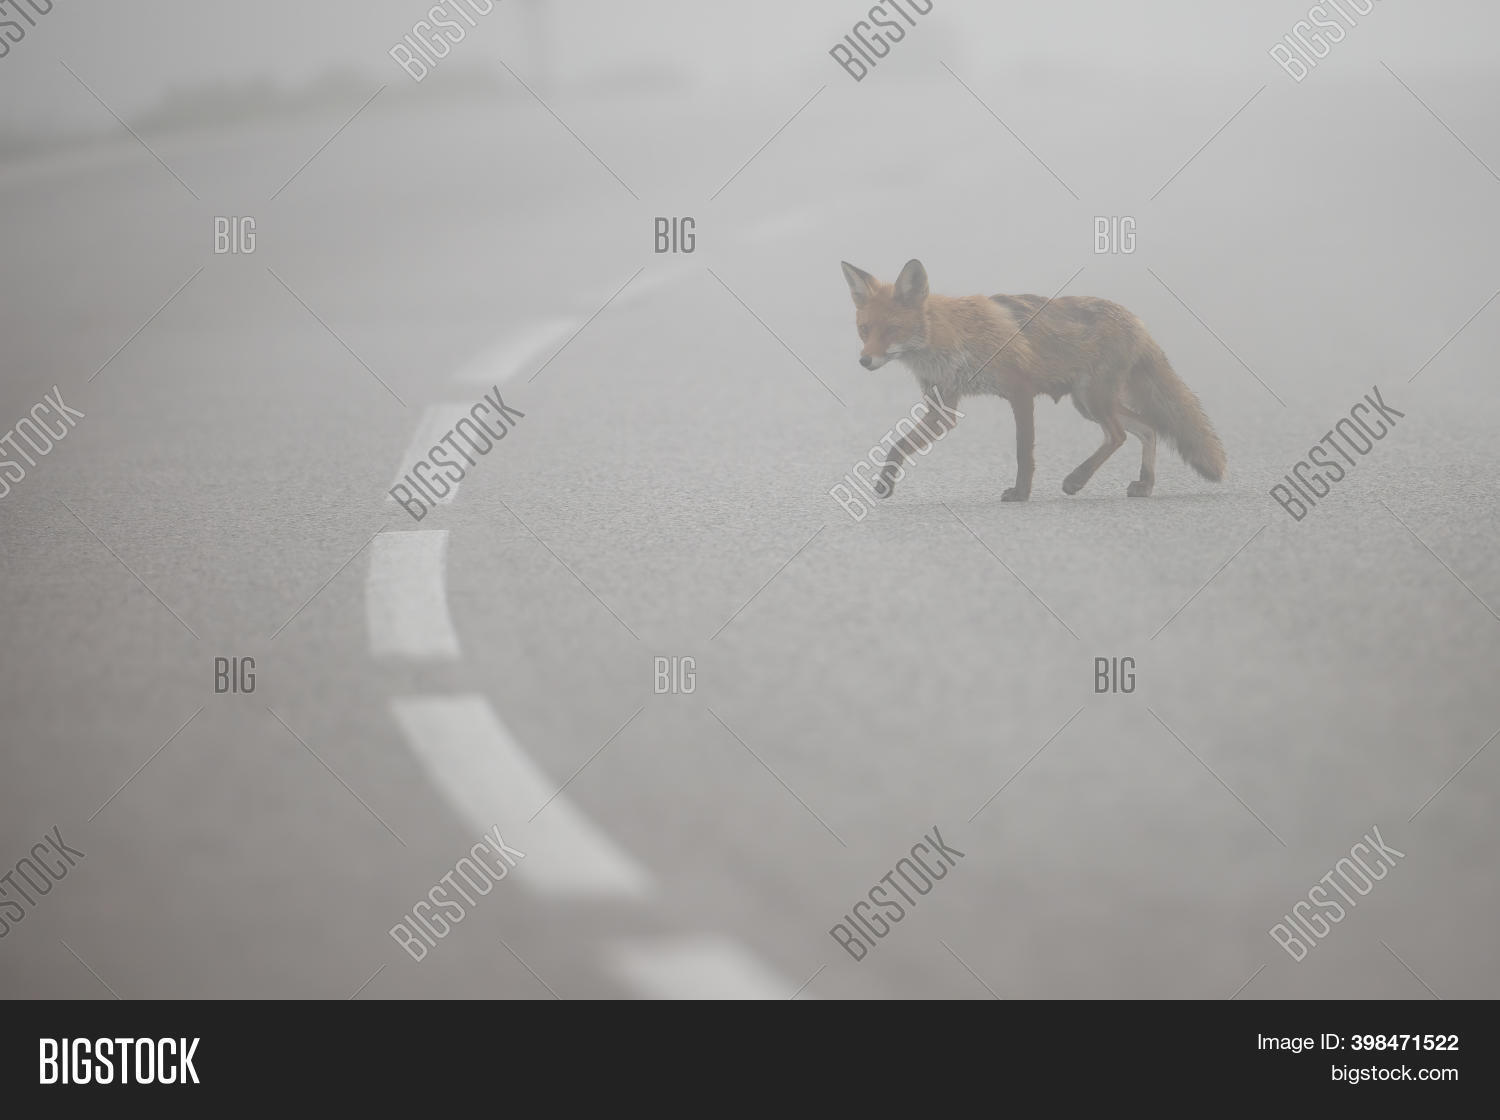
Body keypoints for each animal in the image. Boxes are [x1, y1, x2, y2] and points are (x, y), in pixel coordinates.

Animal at [840, 258, 1225, 500]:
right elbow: (898, 445)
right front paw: (884, 484)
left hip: (1092, 400)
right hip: (1089, 402)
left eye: (892, 330)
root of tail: (1136, 320)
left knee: (1118, 435)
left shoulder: (1020, 390)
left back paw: (1076, 480)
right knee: (1148, 428)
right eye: (865, 330)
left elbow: (1023, 451)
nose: (864, 360)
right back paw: (1144, 485)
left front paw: (1021, 494)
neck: (950, 338)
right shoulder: (943, 409)